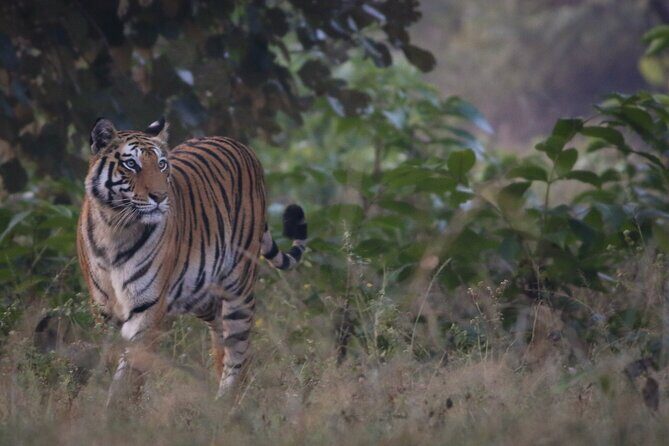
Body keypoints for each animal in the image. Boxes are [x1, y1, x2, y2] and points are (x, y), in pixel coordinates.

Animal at [76, 117, 307, 403]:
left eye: (161, 164)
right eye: (131, 164)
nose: (160, 197)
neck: (115, 228)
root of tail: (242, 146)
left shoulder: (145, 309)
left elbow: (130, 371)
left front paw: (118, 408)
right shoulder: (103, 310)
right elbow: (112, 362)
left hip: (238, 287)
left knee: (237, 348)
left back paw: (228, 402)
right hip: (201, 295)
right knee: (222, 340)